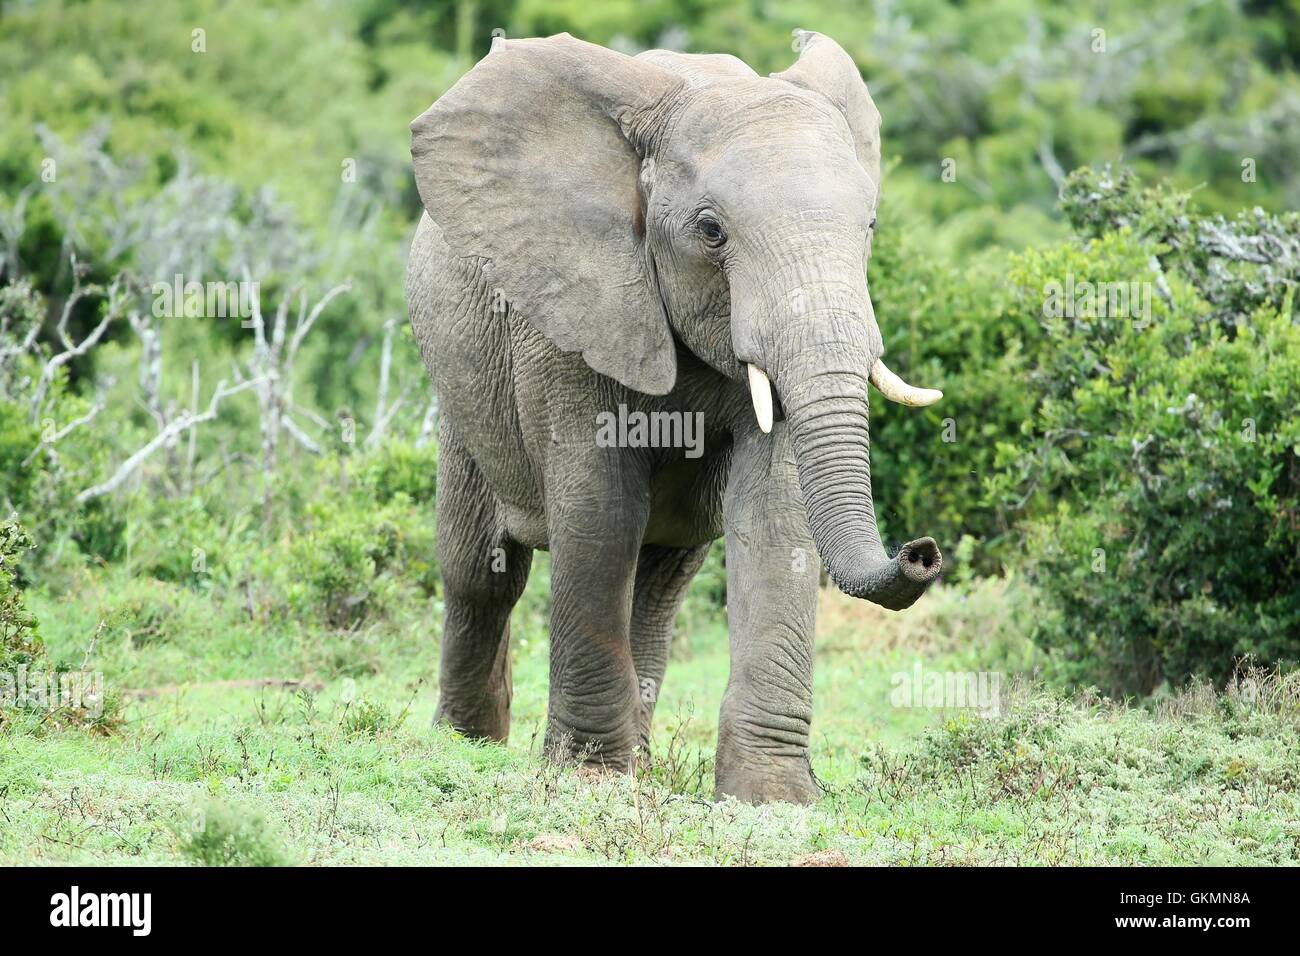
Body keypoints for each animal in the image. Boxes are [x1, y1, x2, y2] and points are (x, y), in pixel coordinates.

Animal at [406, 30, 944, 804]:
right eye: (711, 230)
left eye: (868, 226)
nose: (922, 552)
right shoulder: (571, 306)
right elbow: (599, 513)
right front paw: (589, 778)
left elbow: (773, 514)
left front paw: (770, 799)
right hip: (459, 383)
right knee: (482, 572)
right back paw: (467, 743)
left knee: (658, 587)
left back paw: (640, 759)